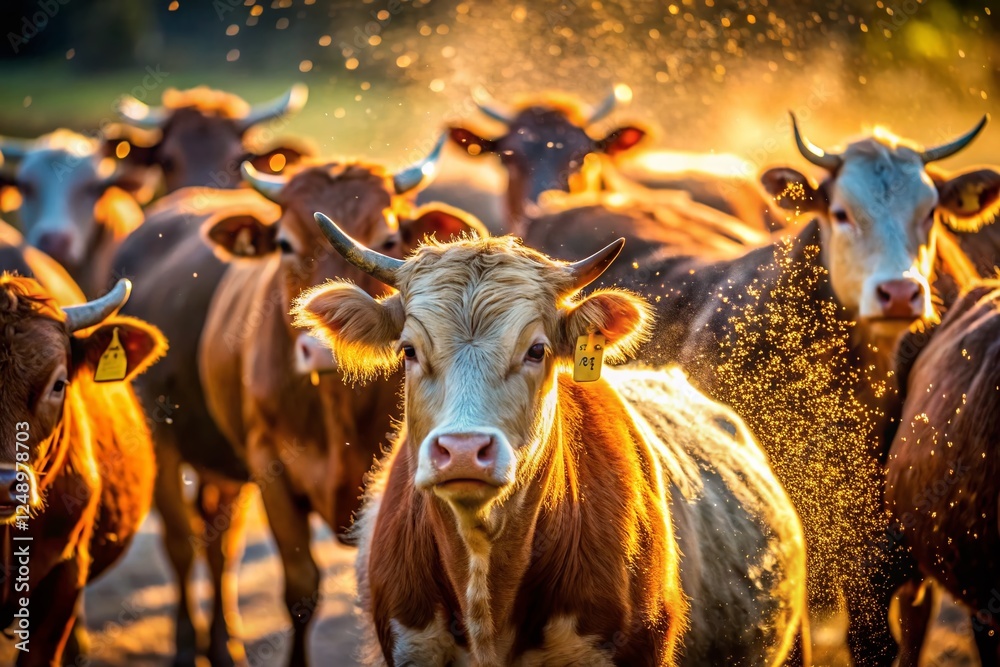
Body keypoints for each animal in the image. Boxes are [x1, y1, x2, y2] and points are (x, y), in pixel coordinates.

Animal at [112, 139, 485, 667]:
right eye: (285, 244)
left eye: (390, 239)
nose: (322, 349)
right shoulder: (273, 470)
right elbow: (301, 589)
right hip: (160, 442)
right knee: (182, 545)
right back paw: (188, 645)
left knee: (220, 544)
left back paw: (223, 646)